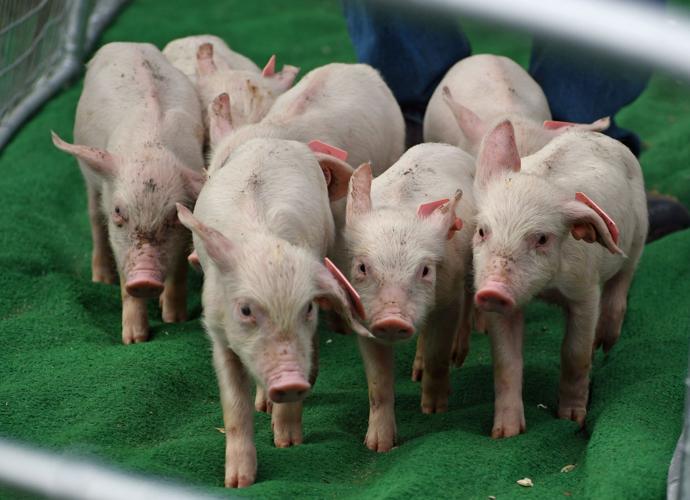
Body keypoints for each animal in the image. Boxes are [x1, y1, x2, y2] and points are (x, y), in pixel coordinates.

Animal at [51, 42, 205, 344]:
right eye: (119, 212)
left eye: (172, 218)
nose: (144, 279)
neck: (150, 147)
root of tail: (126, 44)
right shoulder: (118, 235)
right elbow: (124, 280)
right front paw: (134, 340)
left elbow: (180, 271)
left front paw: (175, 319)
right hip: (91, 180)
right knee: (94, 221)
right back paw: (101, 279)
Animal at [176, 138, 370, 487]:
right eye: (245, 309)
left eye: (308, 308)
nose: (291, 380)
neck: (266, 245)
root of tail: (274, 139)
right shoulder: (218, 331)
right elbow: (234, 407)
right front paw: (238, 482)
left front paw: (288, 444)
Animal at [342, 143, 476, 451]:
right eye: (362, 267)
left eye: (425, 270)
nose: (392, 319)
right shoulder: (364, 315)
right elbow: (378, 385)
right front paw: (378, 446)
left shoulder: (448, 300)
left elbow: (438, 355)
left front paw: (434, 410)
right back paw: (416, 371)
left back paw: (457, 357)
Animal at [471, 121, 647, 438]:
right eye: (481, 231)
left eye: (542, 238)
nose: (492, 291)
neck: (546, 290)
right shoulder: (503, 308)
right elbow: (506, 361)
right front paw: (505, 433)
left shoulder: (585, 290)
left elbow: (575, 353)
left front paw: (572, 419)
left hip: (639, 233)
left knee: (622, 281)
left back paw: (605, 343)